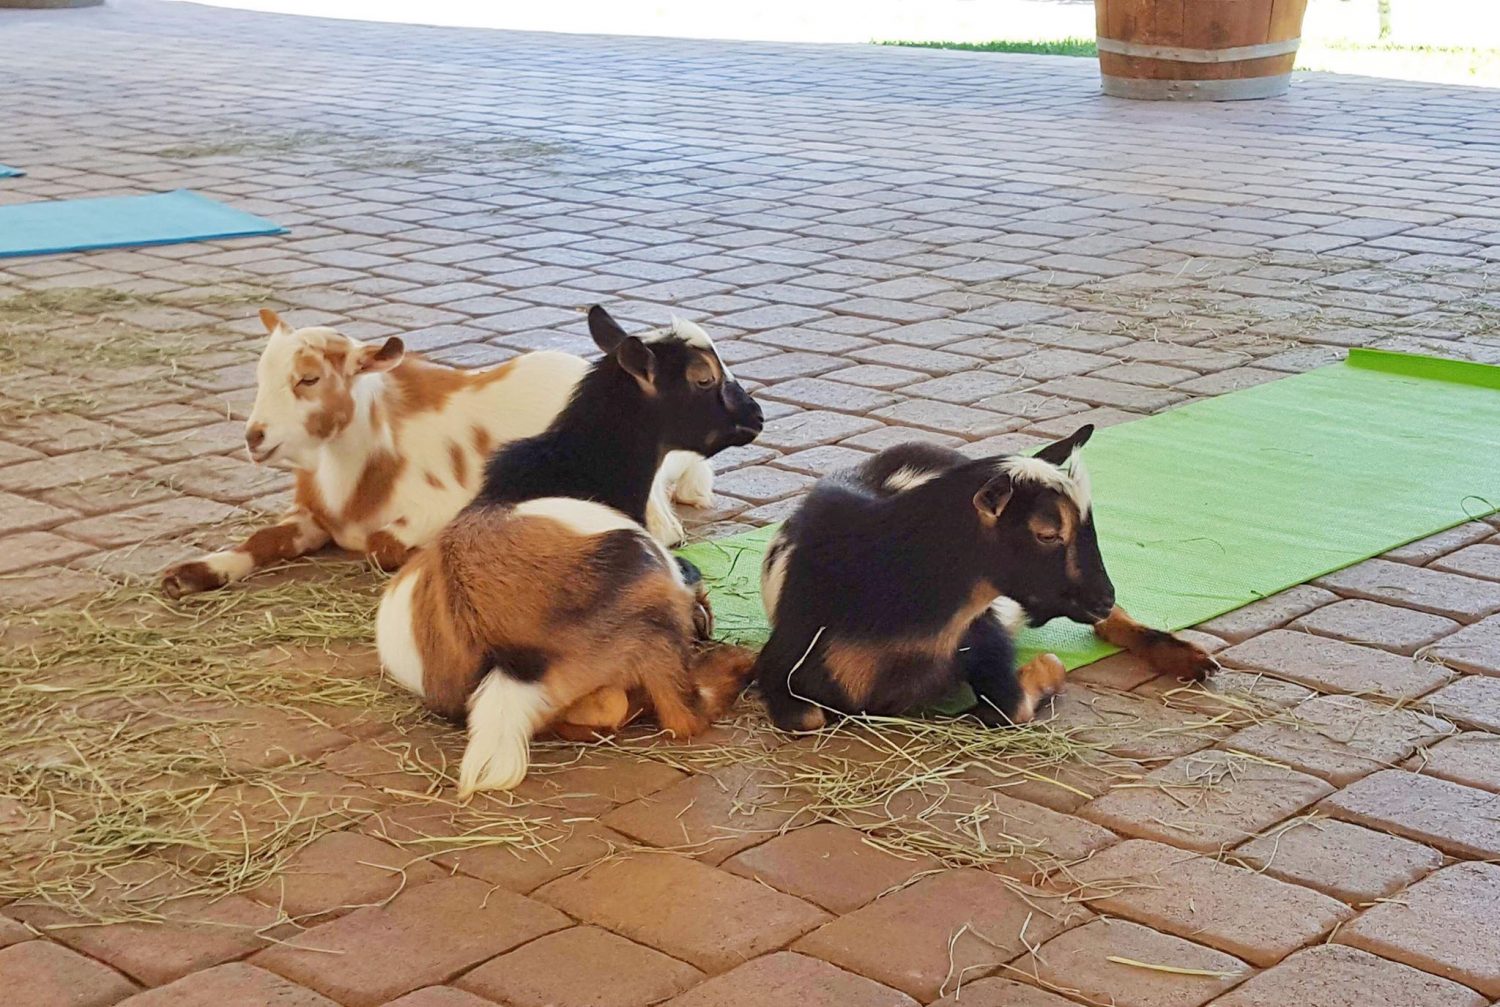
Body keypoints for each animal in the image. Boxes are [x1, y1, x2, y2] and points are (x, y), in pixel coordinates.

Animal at [160, 309, 713, 598]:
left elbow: (382, 548)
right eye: (259, 376)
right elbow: (262, 539)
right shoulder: (308, 515)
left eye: (309, 379)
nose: (254, 436)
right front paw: (192, 573)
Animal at [376, 305, 765, 796]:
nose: (757, 415)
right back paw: (738, 662)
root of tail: (512, 664)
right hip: (648, 610)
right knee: (683, 713)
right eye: (703, 378)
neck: (568, 469)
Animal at [753, 426, 1219, 731]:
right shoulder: (778, 665)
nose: (1102, 596)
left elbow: (1009, 706)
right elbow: (806, 718)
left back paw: (1188, 657)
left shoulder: (983, 632)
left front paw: (1049, 667)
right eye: (1047, 533)